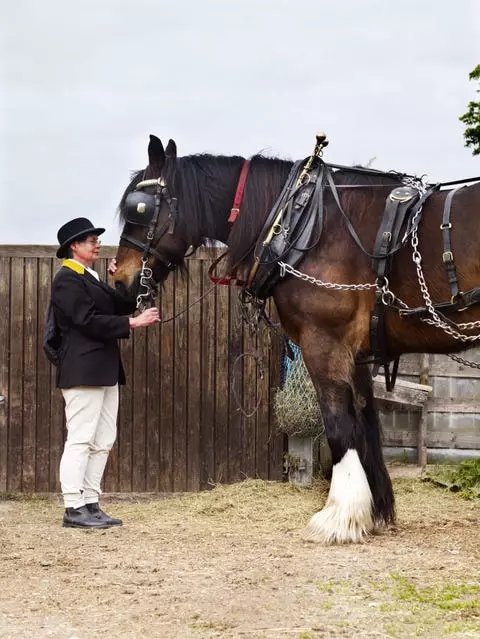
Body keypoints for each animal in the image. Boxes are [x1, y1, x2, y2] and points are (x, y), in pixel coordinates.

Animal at [111, 135, 480, 544]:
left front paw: (340, 517)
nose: (119, 281)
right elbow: (365, 424)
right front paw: (374, 511)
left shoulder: (324, 343)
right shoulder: (356, 355)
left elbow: (339, 425)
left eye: (140, 209)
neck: (305, 223)